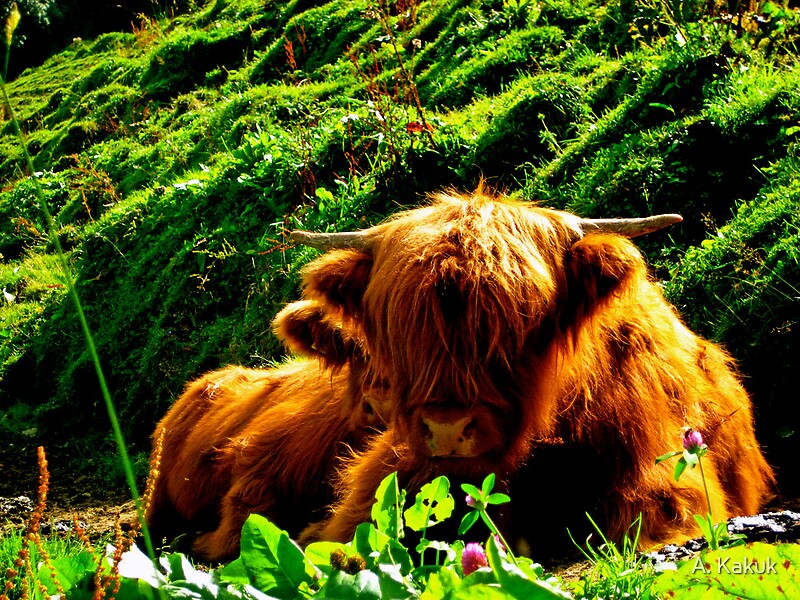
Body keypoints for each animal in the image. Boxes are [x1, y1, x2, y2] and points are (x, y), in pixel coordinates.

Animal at [144, 299, 389, 562]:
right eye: (354, 348)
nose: (378, 407)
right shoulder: (258, 452)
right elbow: (241, 531)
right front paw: (195, 541)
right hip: (157, 492)